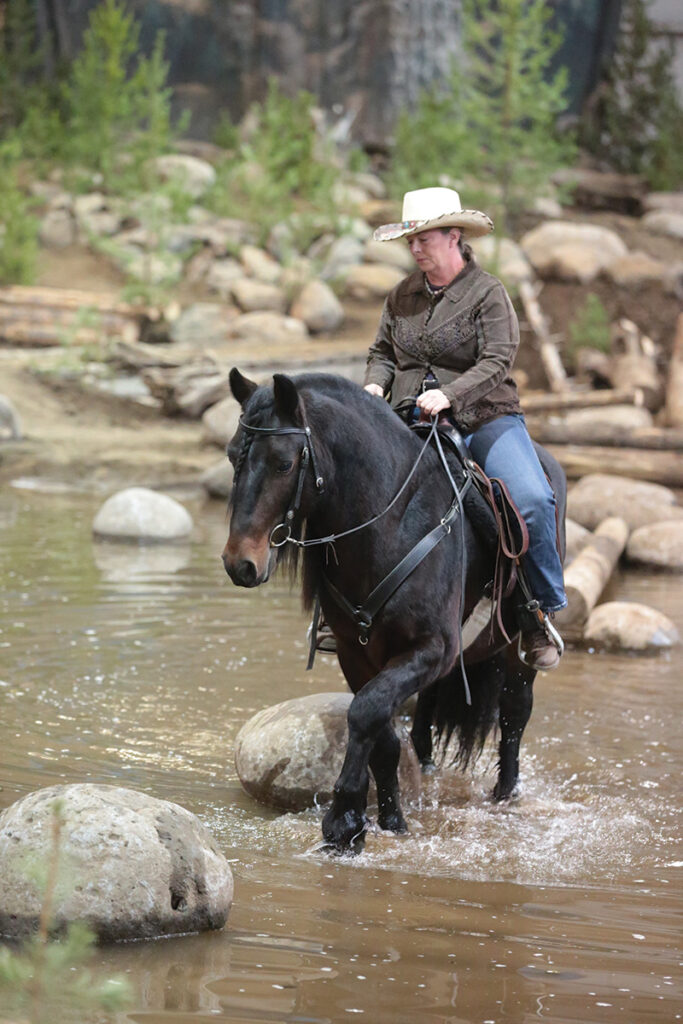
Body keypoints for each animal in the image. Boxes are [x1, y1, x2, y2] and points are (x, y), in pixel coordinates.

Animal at [222, 369, 566, 854]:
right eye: (233, 454)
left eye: (283, 464)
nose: (240, 564)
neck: (390, 526)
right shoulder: (357, 653)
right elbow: (379, 727)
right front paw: (390, 820)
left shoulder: (434, 648)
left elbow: (365, 712)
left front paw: (344, 820)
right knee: (422, 726)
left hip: (516, 654)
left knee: (514, 716)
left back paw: (505, 797)